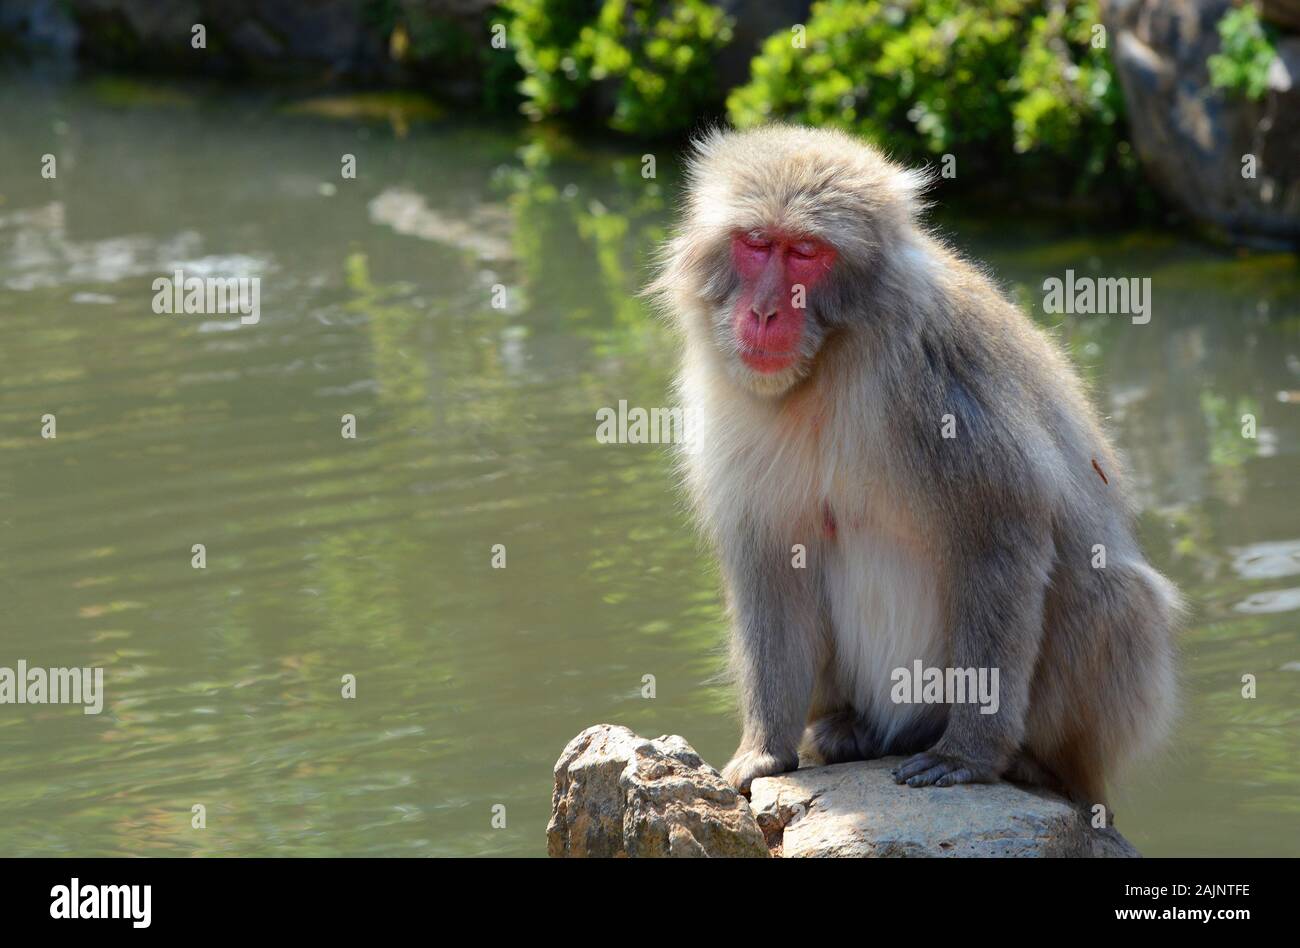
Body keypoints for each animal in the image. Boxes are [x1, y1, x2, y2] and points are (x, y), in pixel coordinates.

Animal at [647, 125, 1180, 809]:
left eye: (806, 254)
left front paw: (970, 754)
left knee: (1113, 591)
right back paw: (846, 730)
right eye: (758, 245)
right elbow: (773, 555)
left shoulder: (933, 376)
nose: (765, 312)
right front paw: (764, 750)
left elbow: (999, 533)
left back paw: (1035, 765)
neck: (826, 367)